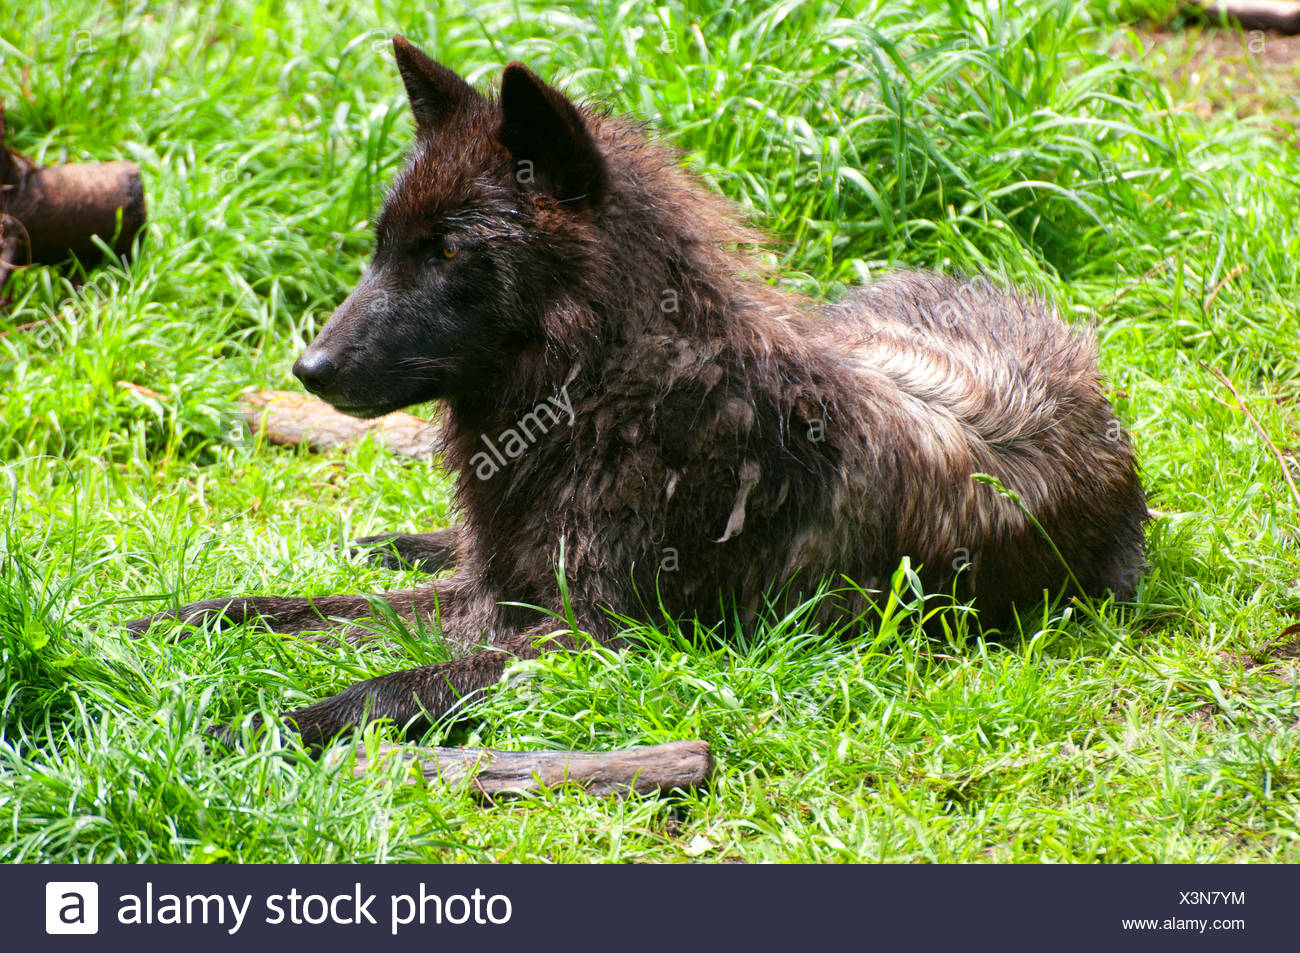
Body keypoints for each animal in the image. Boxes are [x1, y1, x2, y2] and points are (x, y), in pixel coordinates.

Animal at [126, 37, 1148, 744]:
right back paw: (394, 542)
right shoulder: (497, 595)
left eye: (447, 252)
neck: (605, 399)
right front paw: (175, 622)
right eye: (381, 245)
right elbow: (299, 609)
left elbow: (391, 685)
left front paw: (256, 725)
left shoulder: (606, 642)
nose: (310, 370)